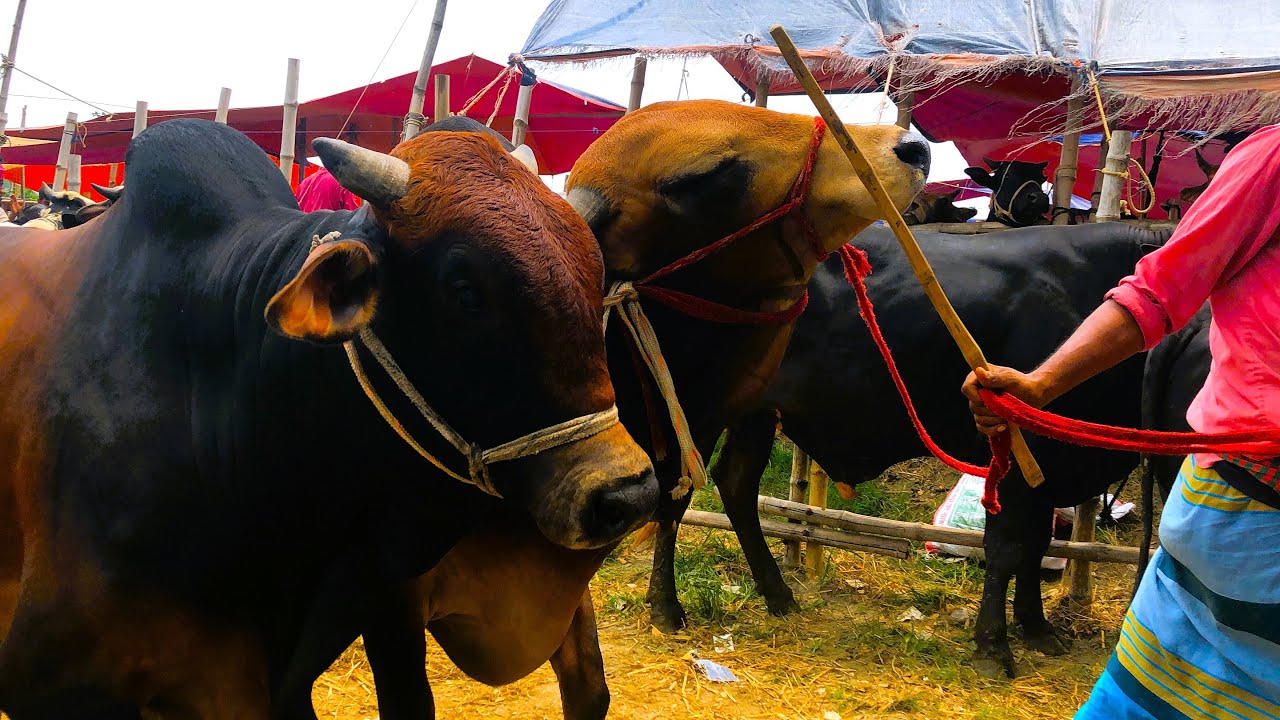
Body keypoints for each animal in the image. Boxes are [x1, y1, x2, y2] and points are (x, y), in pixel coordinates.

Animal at [702, 222, 1170, 679]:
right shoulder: (1017, 458)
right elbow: (1007, 548)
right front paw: (993, 646)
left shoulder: (1046, 472)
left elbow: (1035, 545)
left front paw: (1037, 628)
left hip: (757, 414)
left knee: (735, 481)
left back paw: (778, 595)